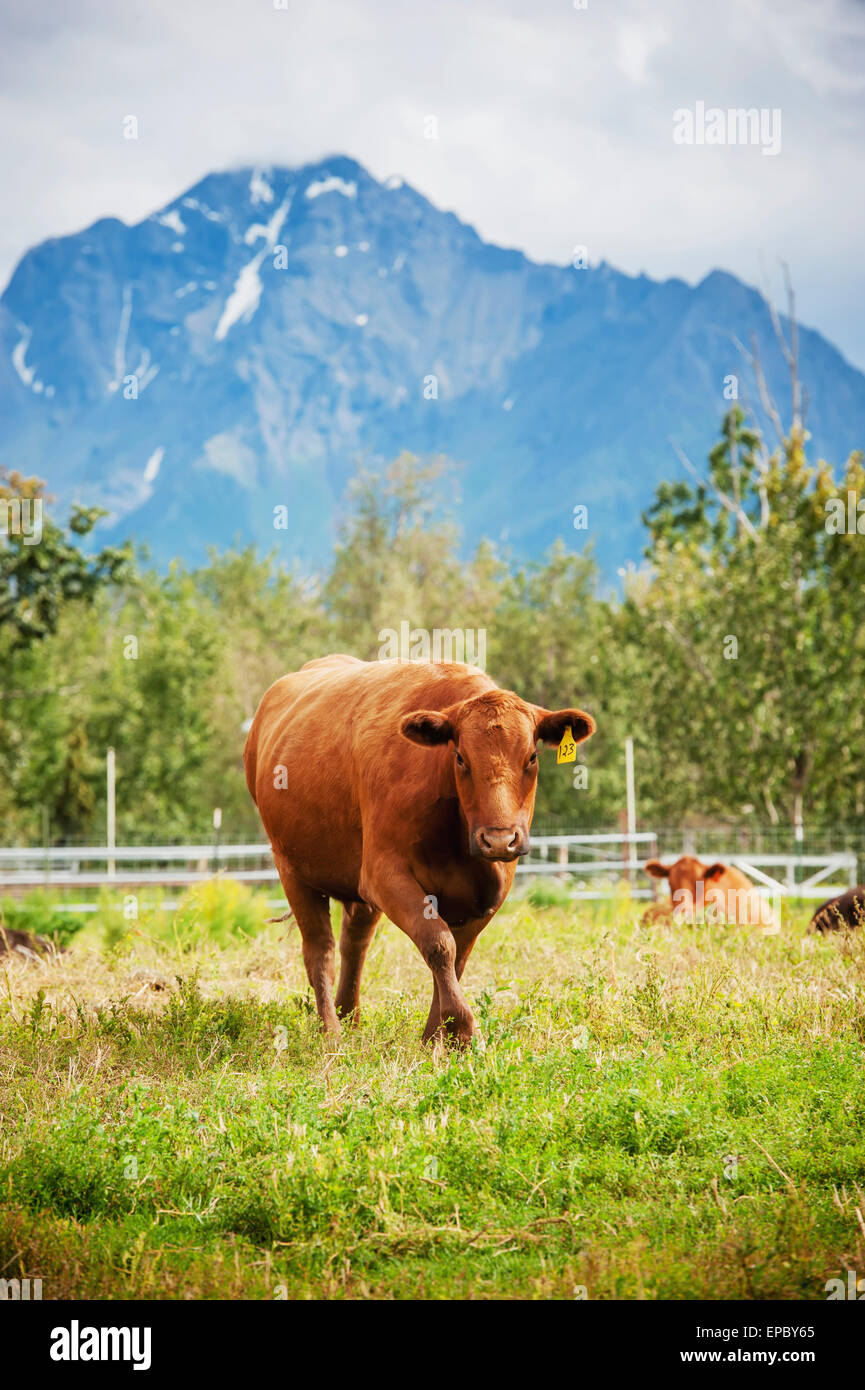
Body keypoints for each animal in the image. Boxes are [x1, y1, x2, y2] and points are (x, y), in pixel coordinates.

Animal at [244, 655, 595, 1045]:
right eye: (460, 757)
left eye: (532, 757)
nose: (500, 839)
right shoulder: (384, 875)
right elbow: (439, 944)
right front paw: (464, 1030)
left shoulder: (490, 891)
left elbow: (456, 958)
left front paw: (437, 1036)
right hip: (292, 869)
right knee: (320, 950)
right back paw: (332, 1033)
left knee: (354, 943)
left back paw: (349, 1016)